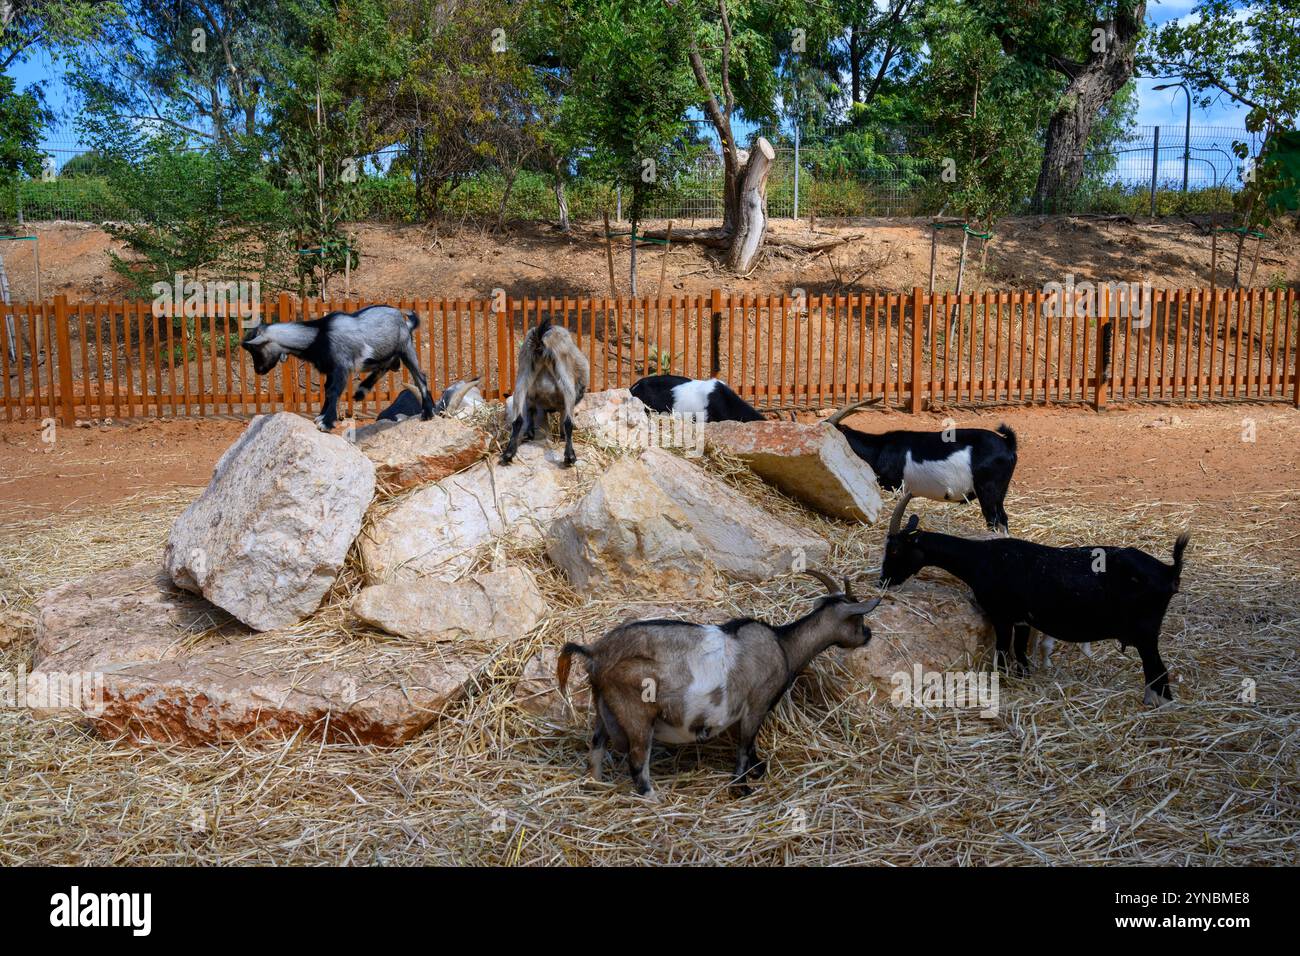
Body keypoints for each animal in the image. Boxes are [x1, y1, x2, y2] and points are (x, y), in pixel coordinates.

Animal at [240, 305, 433, 432]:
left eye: (256, 351)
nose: (258, 370)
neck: (318, 335)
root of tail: (406, 322)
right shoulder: (330, 370)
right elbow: (327, 391)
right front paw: (321, 416)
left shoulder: (342, 367)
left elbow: (333, 391)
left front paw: (325, 423)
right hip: (385, 354)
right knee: (385, 366)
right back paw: (361, 391)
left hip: (406, 347)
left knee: (420, 377)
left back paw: (428, 413)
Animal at [501, 318, 590, 466]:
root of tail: (540, 343)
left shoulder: (530, 397)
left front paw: (530, 432)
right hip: (564, 375)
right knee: (568, 421)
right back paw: (569, 456)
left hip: (524, 372)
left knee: (518, 419)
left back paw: (509, 453)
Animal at [557, 570, 881, 798]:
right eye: (858, 620)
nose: (868, 636)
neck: (784, 646)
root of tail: (595, 653)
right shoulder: (756, 704)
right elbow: (745, 745)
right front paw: (743, 786)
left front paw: (757, 769)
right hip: (636, 714)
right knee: (638, 764)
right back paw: (655, 800)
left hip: (604, 708)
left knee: (596, 746)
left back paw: (596, 783)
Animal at [827, 398, 1018, 532]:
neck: (880, 448)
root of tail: (1007, 444)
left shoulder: (896, 488)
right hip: (1000, 491)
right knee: (1003, 518)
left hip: (987, 490)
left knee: (993, 519)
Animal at [879, 493, 1189, 705]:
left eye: (894, 550)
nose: (882, 581)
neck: (980, 559)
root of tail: (1170, 570)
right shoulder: (1023, 620)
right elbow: (1020, 654)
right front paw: (1024, 678)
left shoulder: (1002, 616)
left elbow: (1003, 653)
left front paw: (1002, 681)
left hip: (1145, 633)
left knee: (1158, 672)